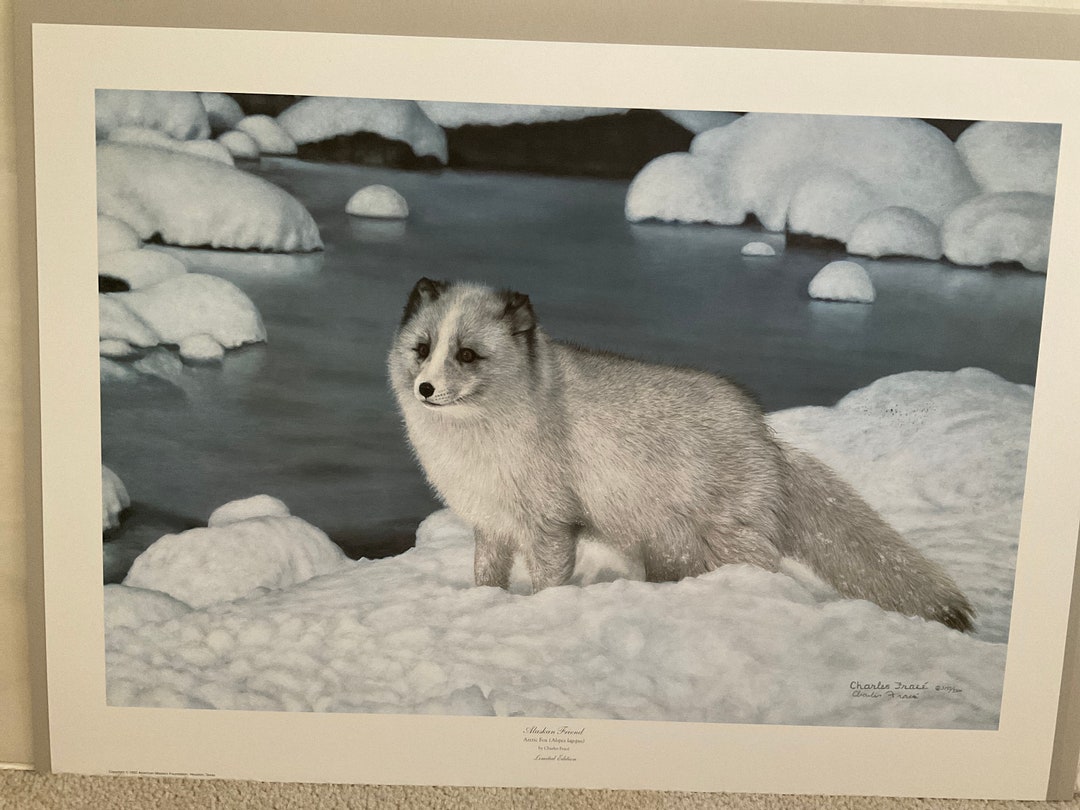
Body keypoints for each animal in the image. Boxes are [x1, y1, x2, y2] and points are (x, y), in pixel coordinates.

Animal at [388, 278, 975, 632]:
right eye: (423, 349)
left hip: (727, 538)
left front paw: (543, 612)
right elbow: (486, 575)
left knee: (764, 570)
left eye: (467, 354)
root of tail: (766, 435)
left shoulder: (551, 523)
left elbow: (549, 580)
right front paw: (482, 603)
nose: (425, 388)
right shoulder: (492, 523)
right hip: (669, 545)